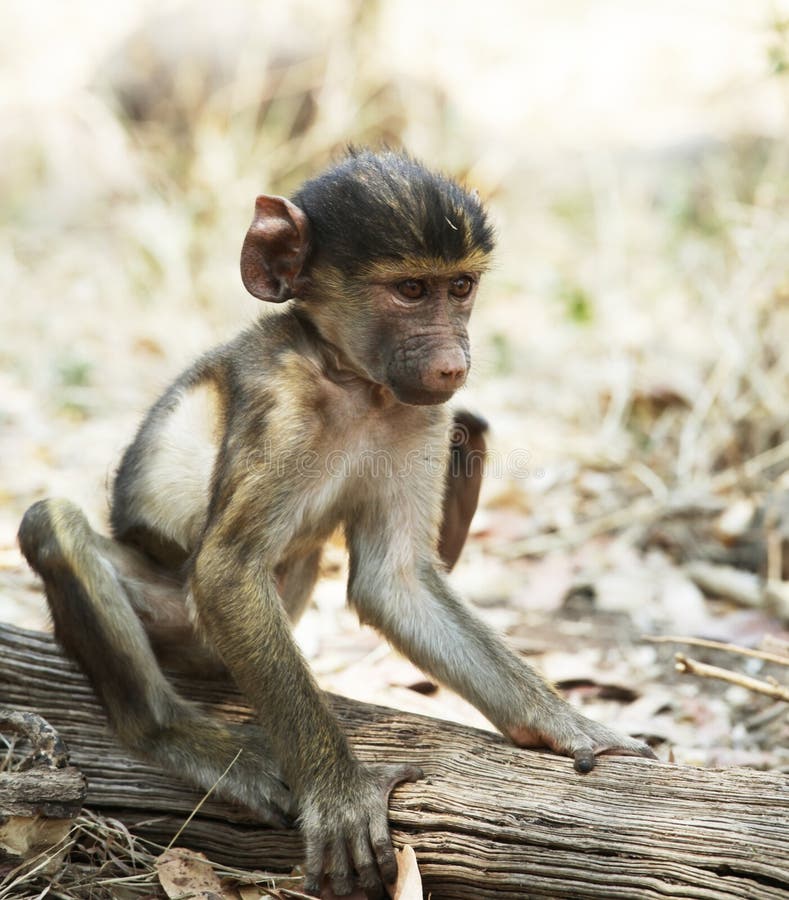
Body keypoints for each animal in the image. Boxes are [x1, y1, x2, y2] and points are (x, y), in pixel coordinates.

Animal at [18, 149, 655, 899]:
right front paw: (342, 797)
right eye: (410, 290)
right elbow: (226, 571)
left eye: (459, 287)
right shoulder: (281, 406)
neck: (350, 379)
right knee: (51, 522)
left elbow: (394, 582)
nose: (453, 361)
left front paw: (569, 726)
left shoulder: (419, 414)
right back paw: (174, 733)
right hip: (176, 624)